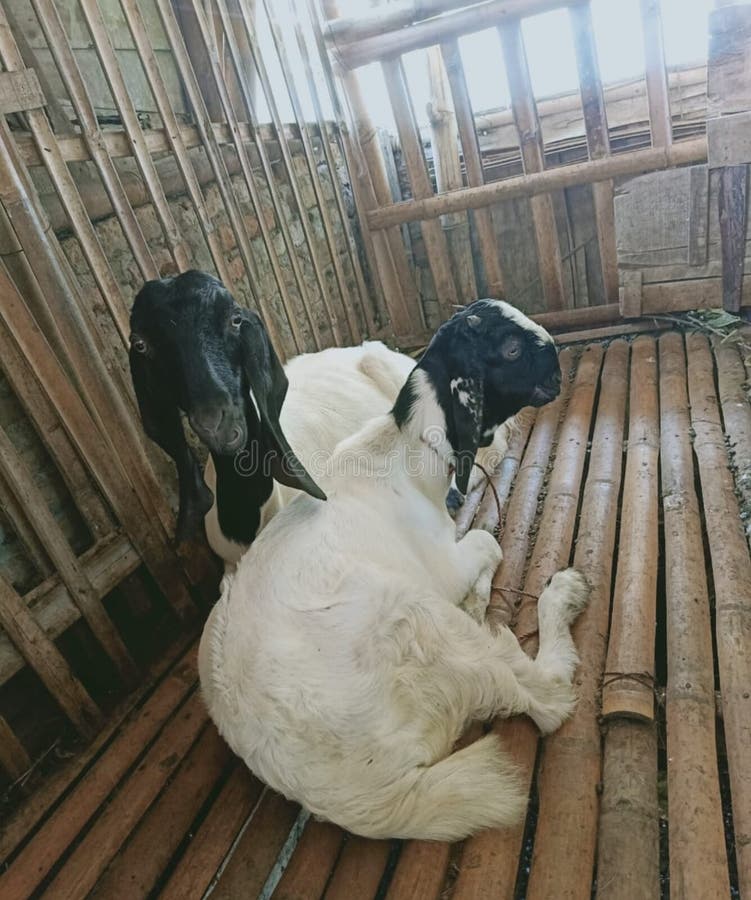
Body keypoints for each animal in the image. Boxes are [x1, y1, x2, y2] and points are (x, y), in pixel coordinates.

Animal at [198, 299, 590, 842]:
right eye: (510, 349)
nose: (556, 366)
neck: (402, 458)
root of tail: (370, 797)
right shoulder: (442, 564)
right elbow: (488, 543)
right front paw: (478, 594)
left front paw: (477, 598)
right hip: (419, 623)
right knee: (548, 699)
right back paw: (564, 593)